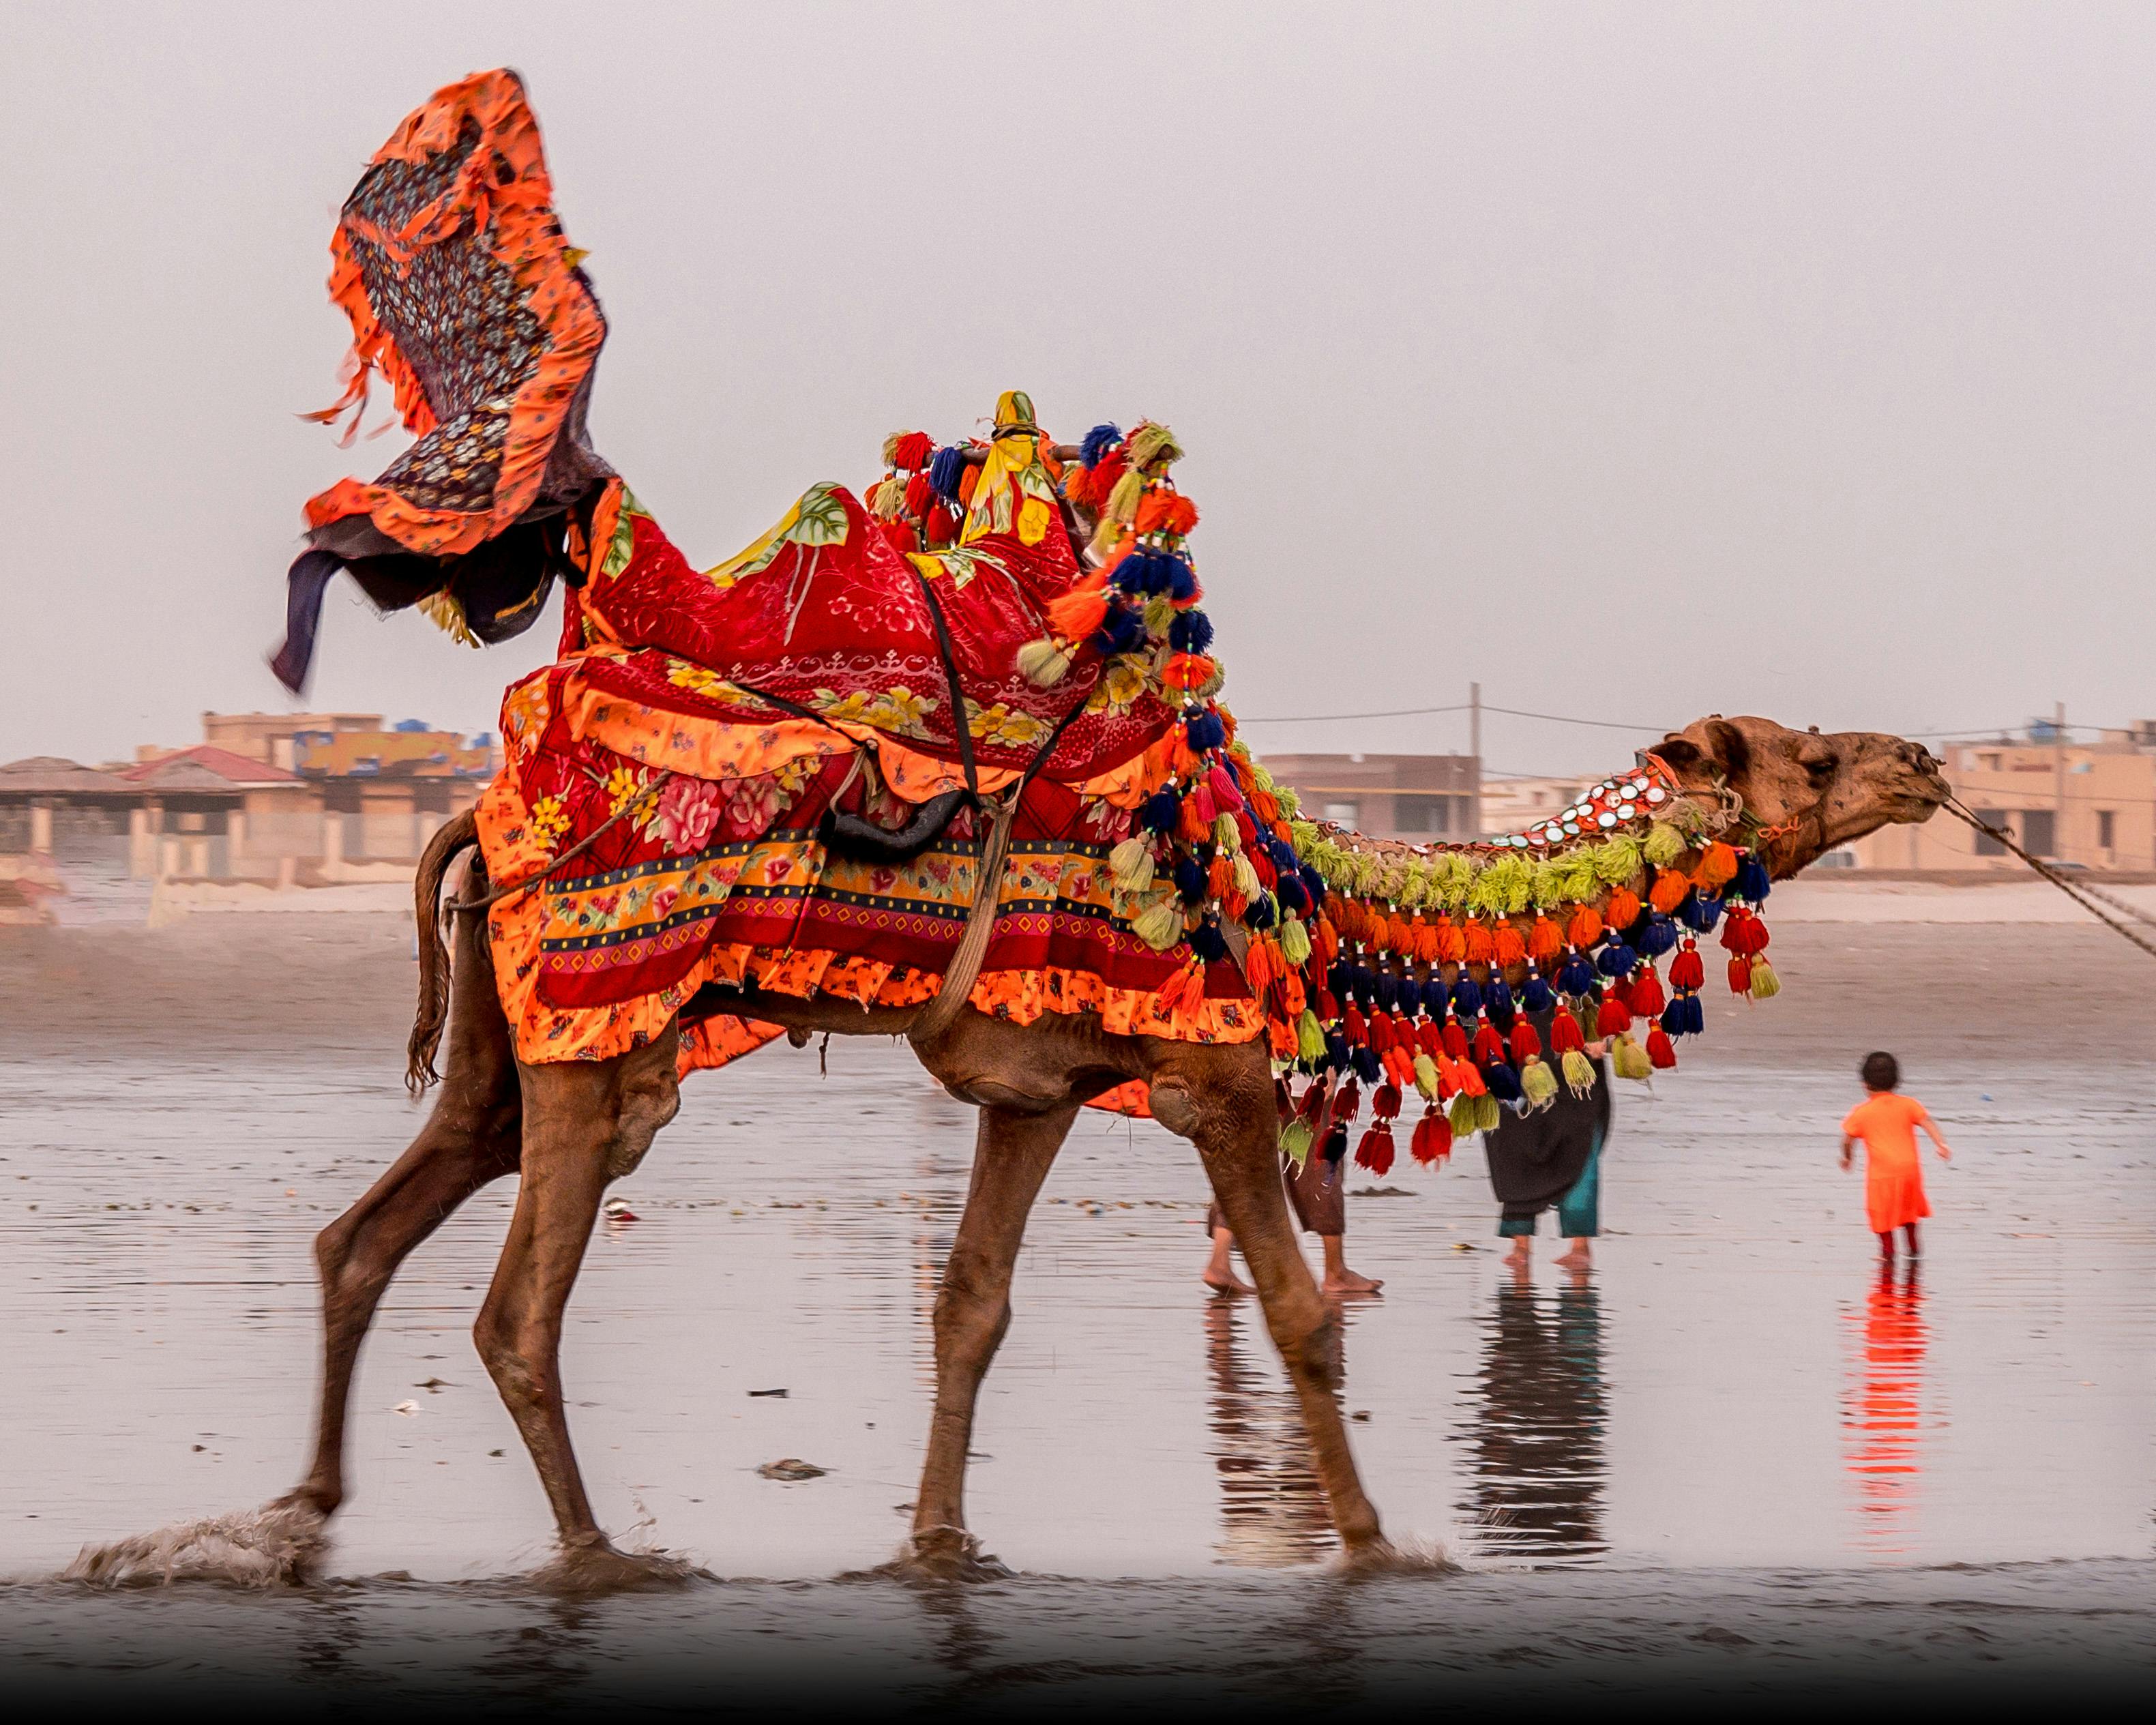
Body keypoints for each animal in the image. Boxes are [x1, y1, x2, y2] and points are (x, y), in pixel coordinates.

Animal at [122, 712, 1928, 1590]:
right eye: (1808, 752)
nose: (1922, 766)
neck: (1311, 892)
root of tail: (478, 816)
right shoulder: (1214, 1078)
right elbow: (1298, 1313)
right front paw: (1371, 1545)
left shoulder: (1034, 1089)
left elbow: (969, 1308)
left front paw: (938, 1542)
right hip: (595, 1050)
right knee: (516, 1309)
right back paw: (599, 1554)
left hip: (510, 1060)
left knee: (363, 1233)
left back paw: (299, 1515)